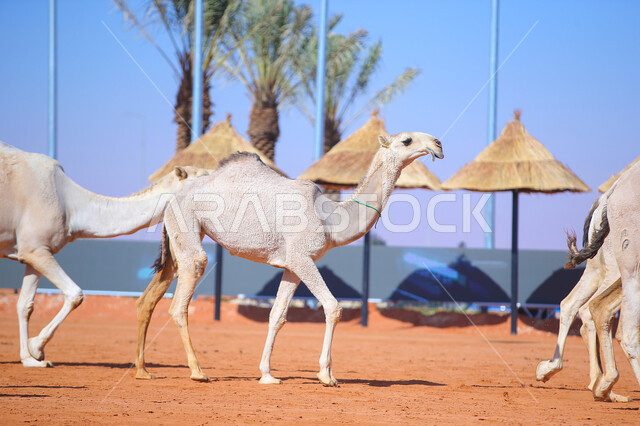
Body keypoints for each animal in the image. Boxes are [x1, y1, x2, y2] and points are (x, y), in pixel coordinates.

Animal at [0, 141, 209, 367]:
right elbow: (75, 294)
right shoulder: (35, 249)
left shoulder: (35, 251)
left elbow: (25, 305)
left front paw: (30, 358)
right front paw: (36, 348)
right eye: (202, 176)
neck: (70, 207)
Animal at [134, 132, 444, 385]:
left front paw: (267, 374)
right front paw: (326, 375)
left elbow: (277, 316)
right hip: (187, 225)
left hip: (176, 245)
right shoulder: (302, 257)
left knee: (151, 297)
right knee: (181, 300)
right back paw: (197, 371)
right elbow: (333, 307)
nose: (438, 144)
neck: (330, 219)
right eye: (406, 140)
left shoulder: (292, 265)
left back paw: (143, 370)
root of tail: (170, 201)